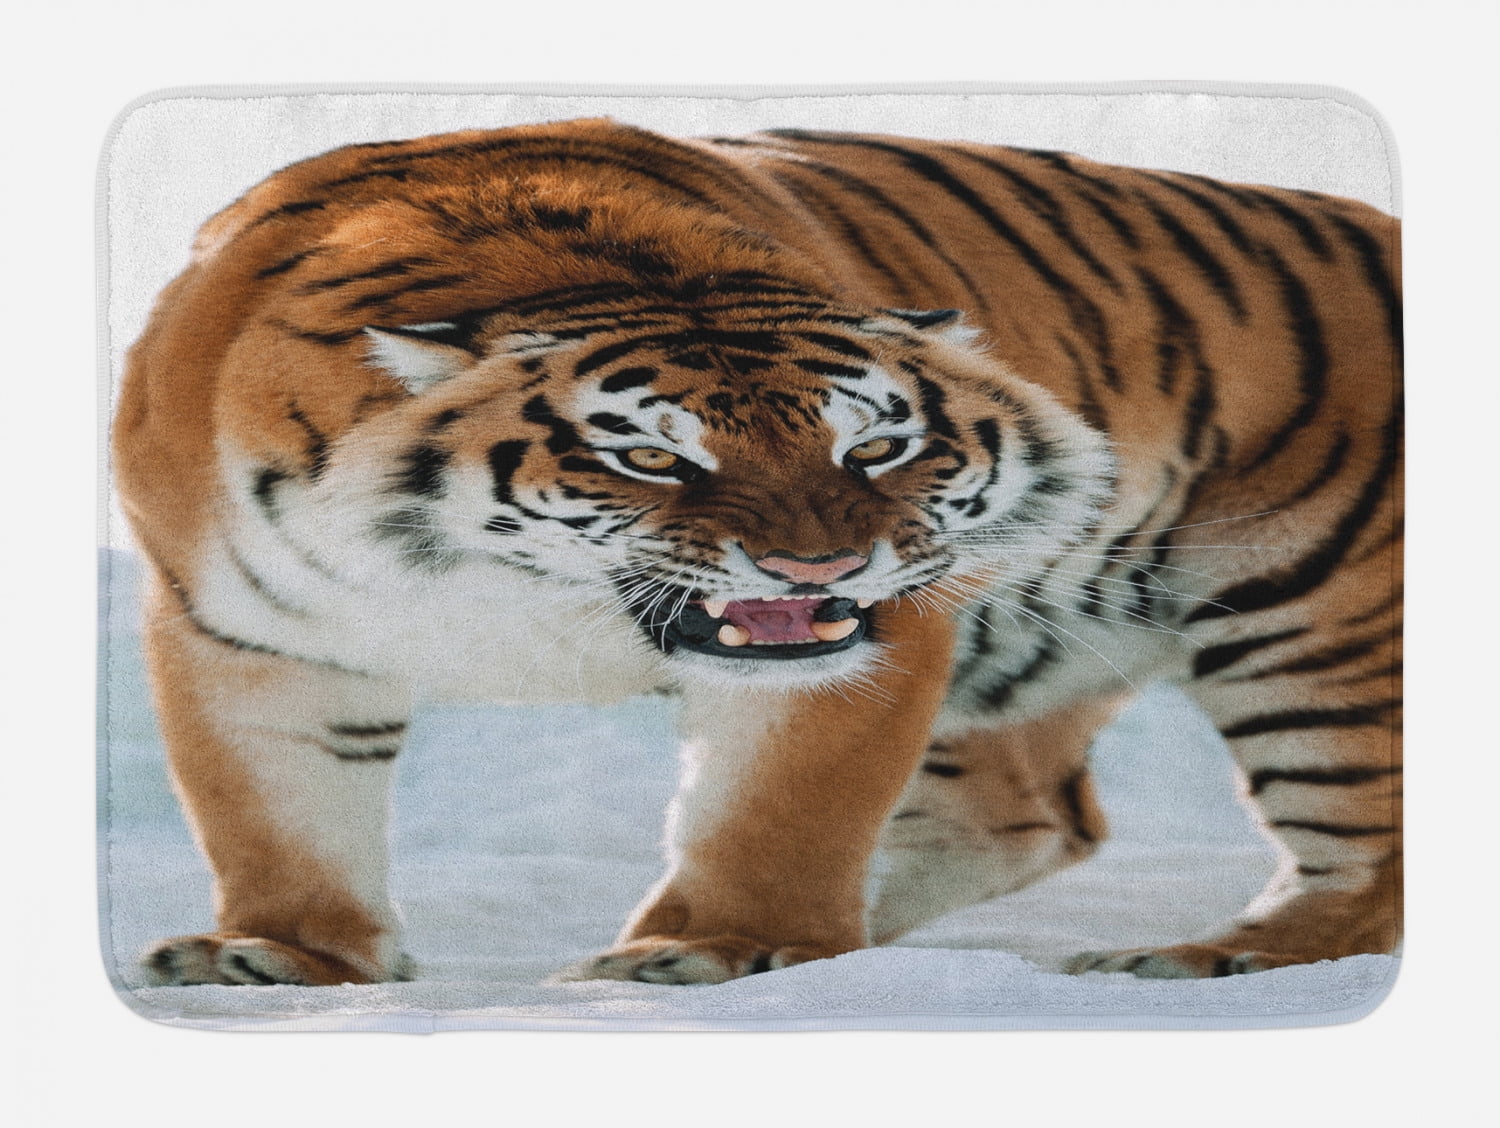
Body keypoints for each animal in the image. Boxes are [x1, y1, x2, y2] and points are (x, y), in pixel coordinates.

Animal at [113, 117, 1401, 988]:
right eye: (651, 458)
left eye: (876, 446)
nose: (818, 574)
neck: (502, 595)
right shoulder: (239, 628)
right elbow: (275, 803)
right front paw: (281, 954)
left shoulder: (877, 641)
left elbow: (779, 810)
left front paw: (717, 951)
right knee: (1027, 811)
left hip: (1317, 619)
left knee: (1364, 865)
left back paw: (1205, 960)